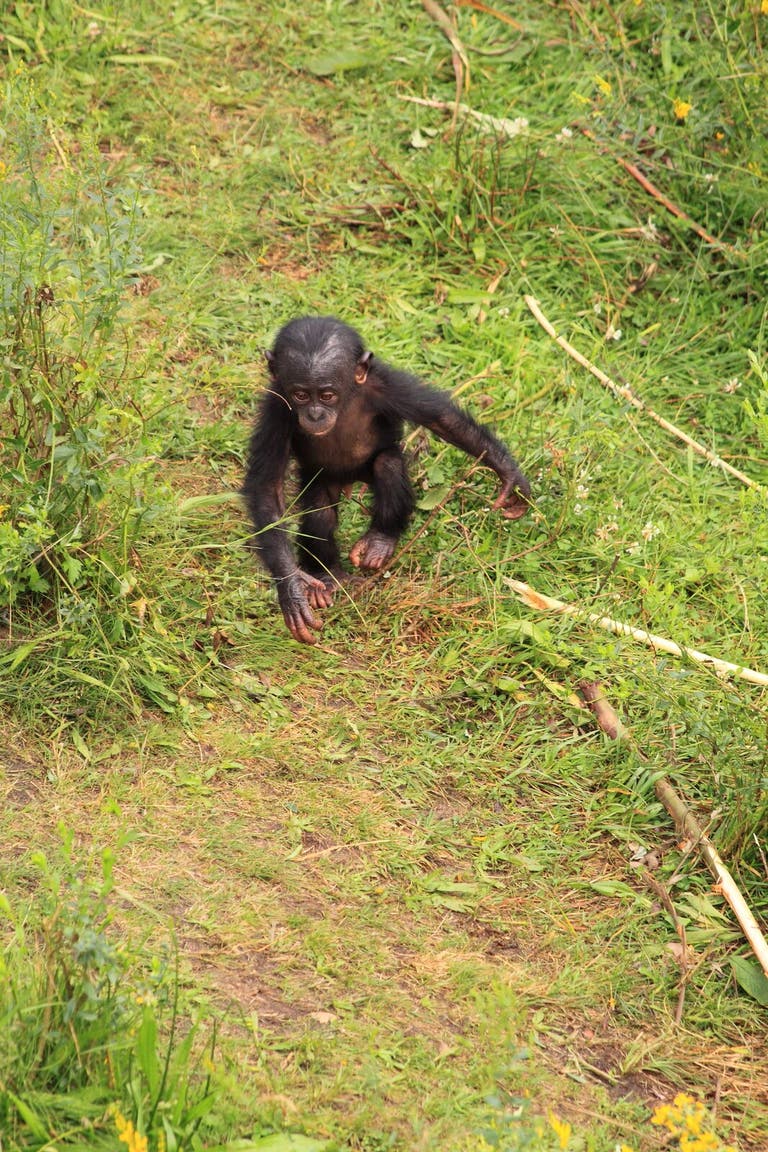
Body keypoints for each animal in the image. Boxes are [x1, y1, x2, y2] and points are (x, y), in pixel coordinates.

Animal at [242, 316, 530, 643]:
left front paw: (509, 474)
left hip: (373, 467)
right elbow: (268, 489)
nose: (315, 414)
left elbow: (443, 420)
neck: (346, 399)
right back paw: (325, 574)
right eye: (301, 395)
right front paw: (291, 589)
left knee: (388, 466)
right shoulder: (276, 411)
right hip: (323, 479)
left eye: (327, 395)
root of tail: (350, 480)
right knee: (320, 508)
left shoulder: (389, 387)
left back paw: (380, 541)